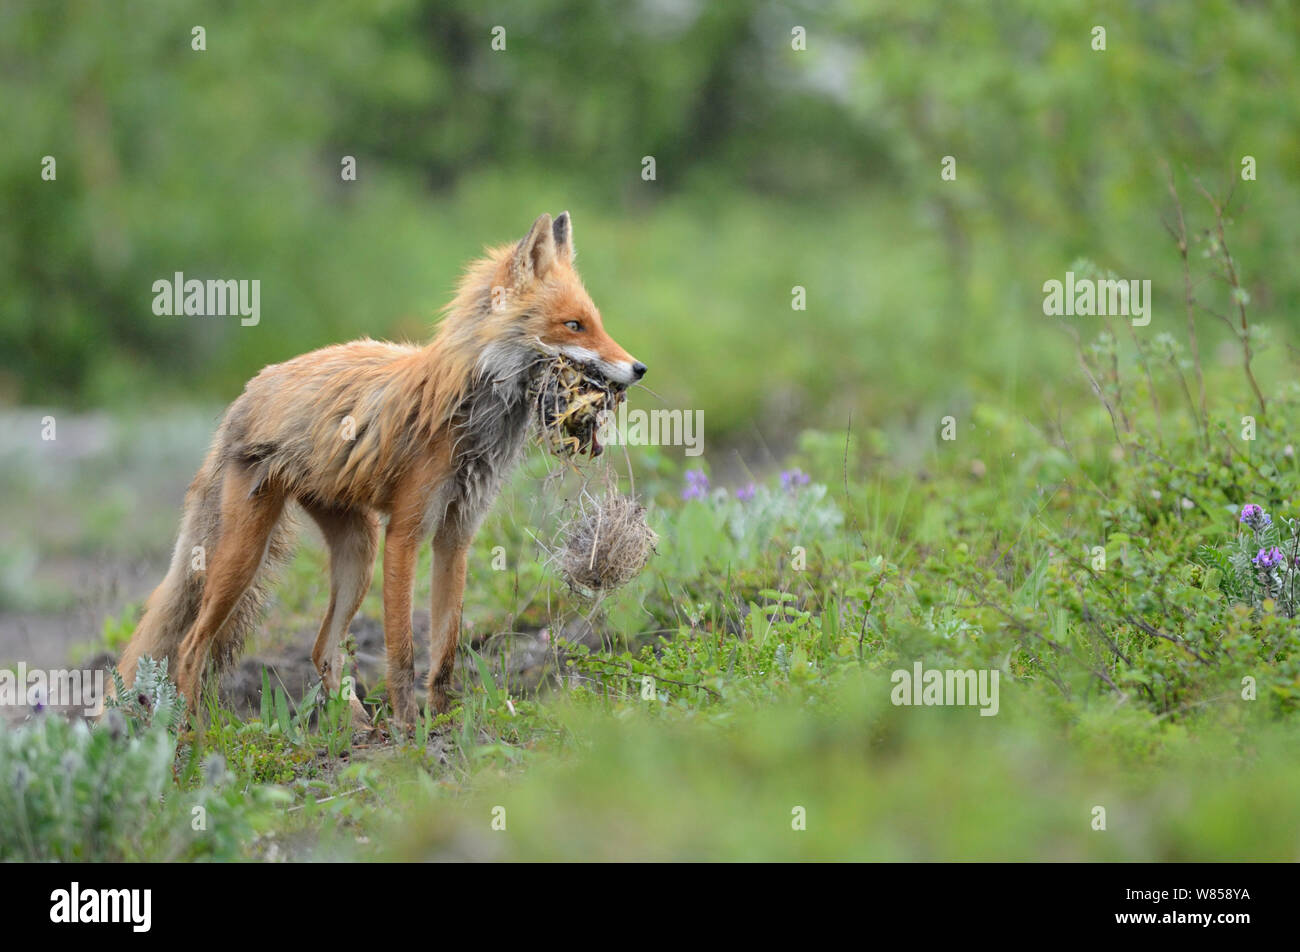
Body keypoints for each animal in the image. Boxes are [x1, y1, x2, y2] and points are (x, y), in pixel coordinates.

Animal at [115, 212, 645, 730]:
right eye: (574, 325)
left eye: (595, 323)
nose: (639, 368)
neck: (468, 406)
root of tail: (249, 391)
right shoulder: (405, 532)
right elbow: (402, 650)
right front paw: (409, 732)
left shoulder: (456, 535)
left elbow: (445, 650)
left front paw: (443, 723)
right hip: (245, 554)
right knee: (190, 646)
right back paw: (193, 738)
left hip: (358, 551)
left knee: (320, 650)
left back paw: (357, 729)